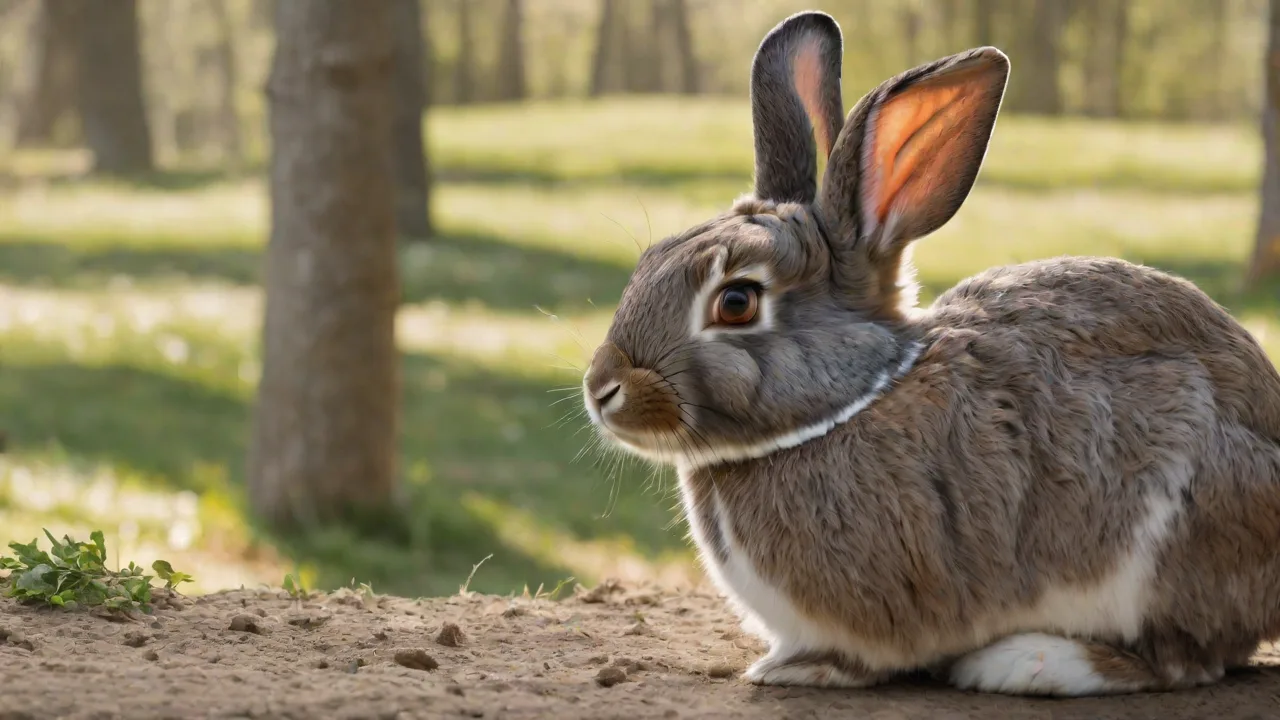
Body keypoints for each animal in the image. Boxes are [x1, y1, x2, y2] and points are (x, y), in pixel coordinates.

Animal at [581, 8, 1280, 698]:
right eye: (651, 258)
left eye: (736, 303)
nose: (602, 388)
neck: (857, 398)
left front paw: (801, 668)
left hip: (1173, 531)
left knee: (1189, 657)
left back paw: (1028, 663)